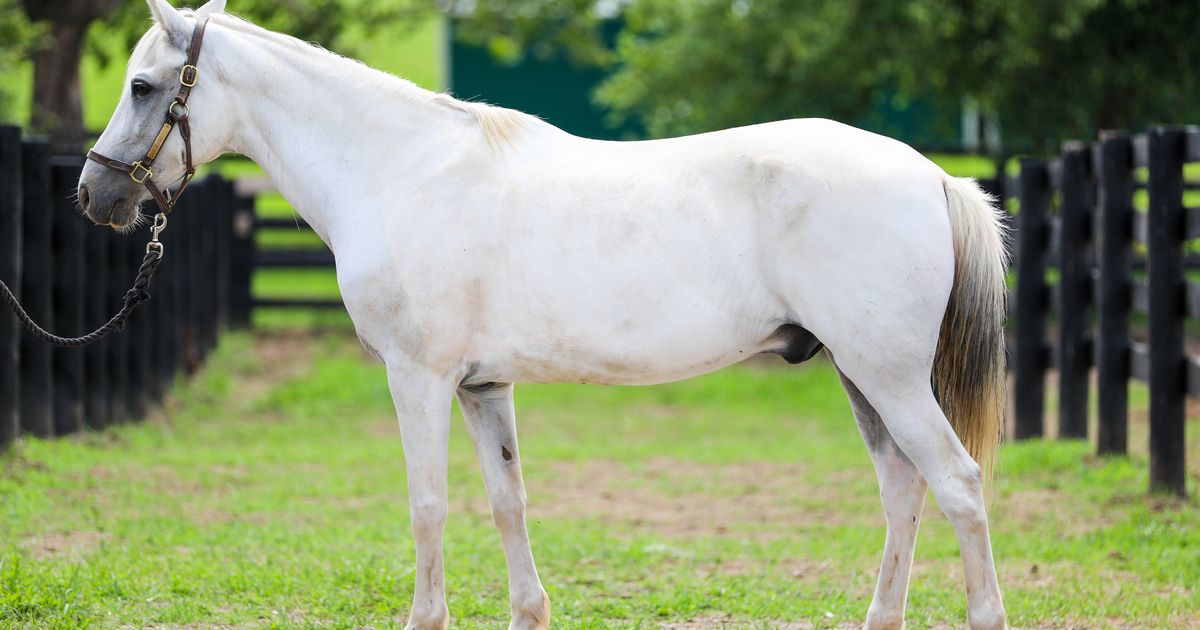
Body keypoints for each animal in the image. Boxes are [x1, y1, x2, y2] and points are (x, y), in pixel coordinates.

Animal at [77, 1, 1010, 628]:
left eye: (143, 85)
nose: (94, 194)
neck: (399, 169)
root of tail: (935, 175)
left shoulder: (418, 380)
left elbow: (428, 506)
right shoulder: (483, 387)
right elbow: (507, 501)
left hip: (889, 376)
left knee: (958, 486)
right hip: (860, 375)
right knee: (902, 489)